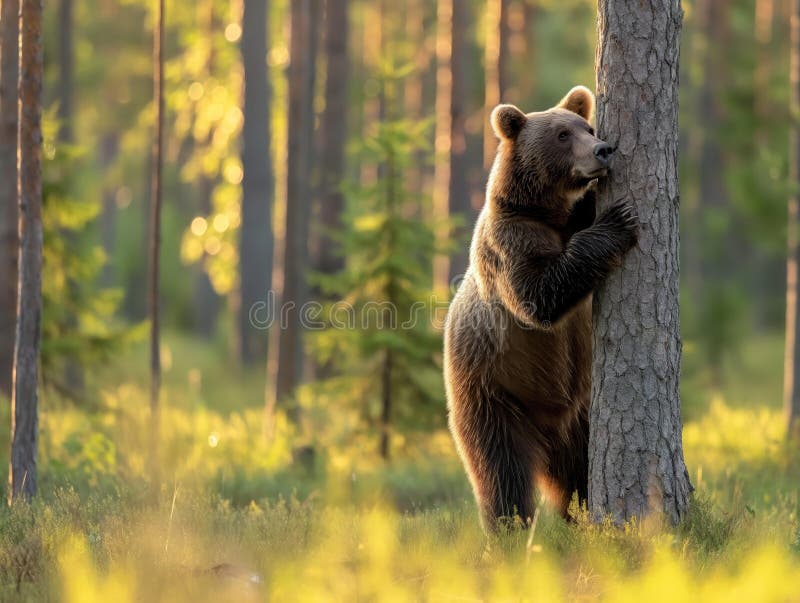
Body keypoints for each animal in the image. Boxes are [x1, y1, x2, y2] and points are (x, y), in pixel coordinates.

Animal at [443, 86, 638, 532]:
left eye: (588, 127)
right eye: (562, 136)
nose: (603, 150)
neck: (551, 212)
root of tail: (548, 432)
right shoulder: (511, 241)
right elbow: (538, 295)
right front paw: (618, 221)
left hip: (581, 413)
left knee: (580, 473)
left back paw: (580, 517)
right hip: (494, 394)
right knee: (502, 471)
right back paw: (510, 529)